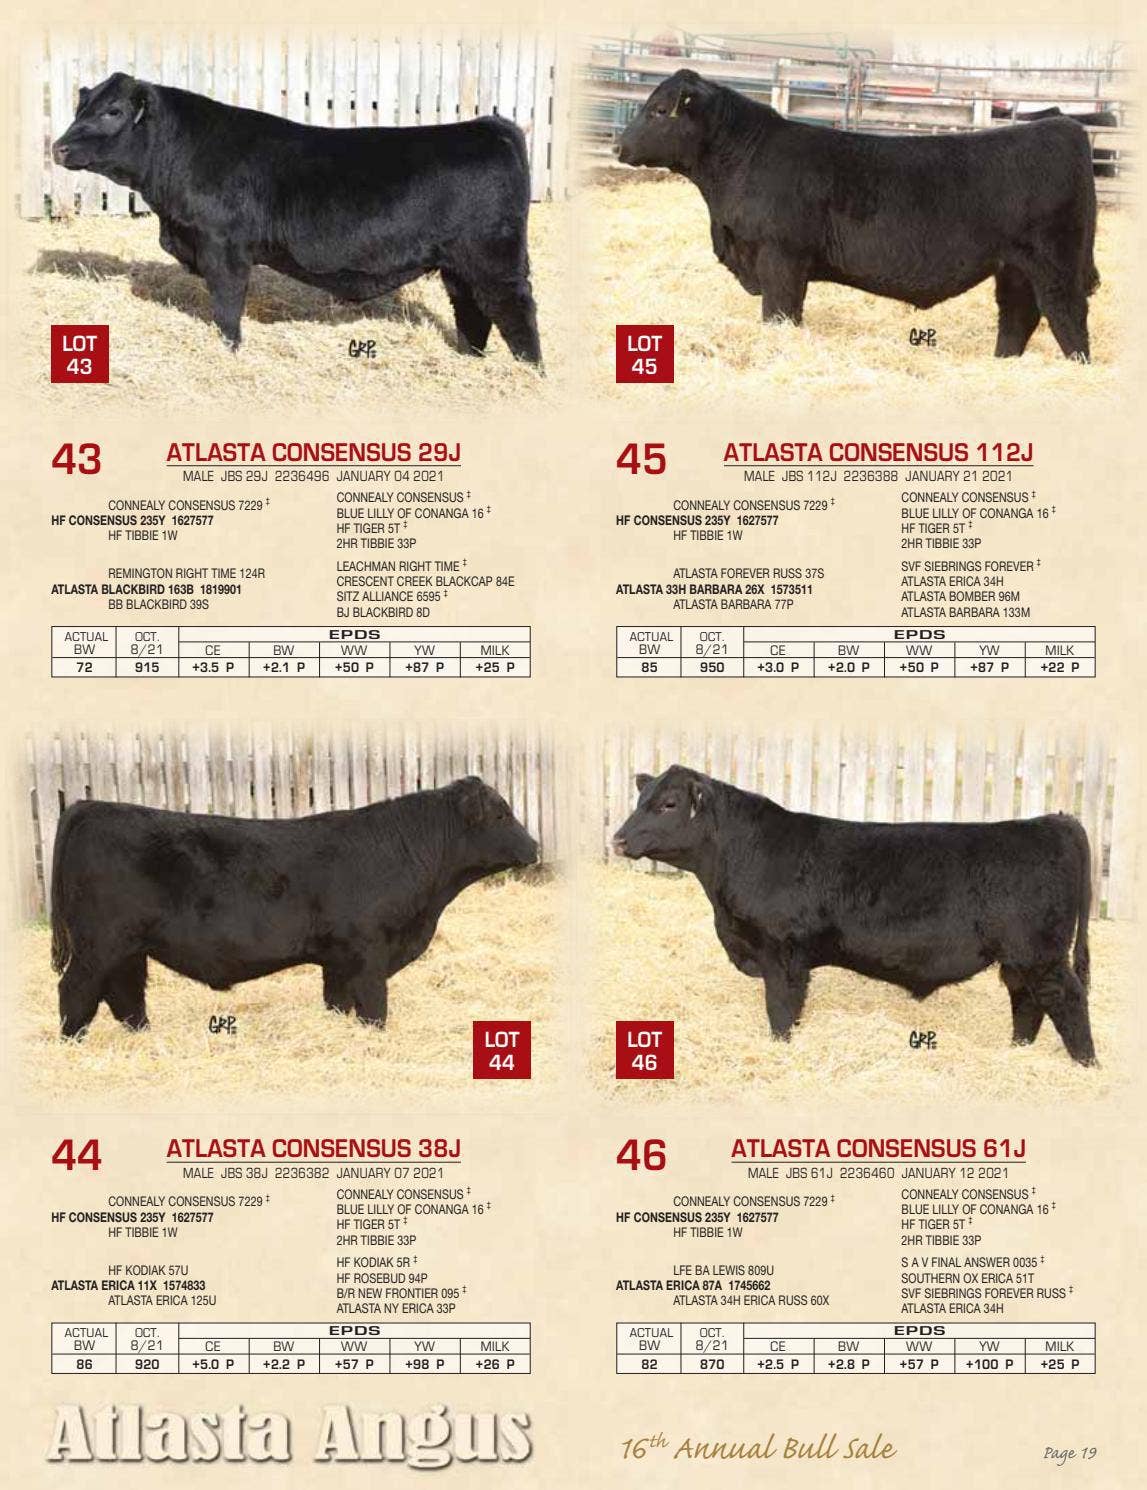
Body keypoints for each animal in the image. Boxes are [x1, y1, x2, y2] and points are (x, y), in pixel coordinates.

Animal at [49, 777, 538, 1039]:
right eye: (501, 814)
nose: (534, 846)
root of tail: (89, 804)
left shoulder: (339, 959)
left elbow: (338, 1002)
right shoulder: (368, 952)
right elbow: (374, 1007)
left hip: (128, 947)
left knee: (125, 993)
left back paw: (144, 1037)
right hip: (100, 943)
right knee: (77, 989)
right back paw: (72, 1043)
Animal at [50, 72, 542, 362]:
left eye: (113, 111)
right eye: (80, 108)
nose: (59, 148)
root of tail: (488, 126)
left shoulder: (222, 246)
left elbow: (227, 305)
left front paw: (231, 351)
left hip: (494, 257)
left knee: (515, 308)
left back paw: (529, 371)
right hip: (458, 263)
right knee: (473, 309)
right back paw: (472, 358)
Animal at [612, 765, 1096, 1065]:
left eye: (669, 804)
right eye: (641, 798)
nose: (617, 839)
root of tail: (1052, 820)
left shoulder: (781, 953)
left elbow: (780, 1009)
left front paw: (782, 1048)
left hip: (1041, 954)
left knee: (1067, 998)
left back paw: (1086, 1064)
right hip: (1020, 958)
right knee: (1027, 1001)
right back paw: (1017, 1051)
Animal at [615, 69, 1099, 360]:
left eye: (659, 110)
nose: (619, 146)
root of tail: (1063, 126)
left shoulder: (781, 256)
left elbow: (780, 313)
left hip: (1055, 260)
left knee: (1067, 314)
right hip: (1013, 266)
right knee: (1018, 315)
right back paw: (1002, 364)